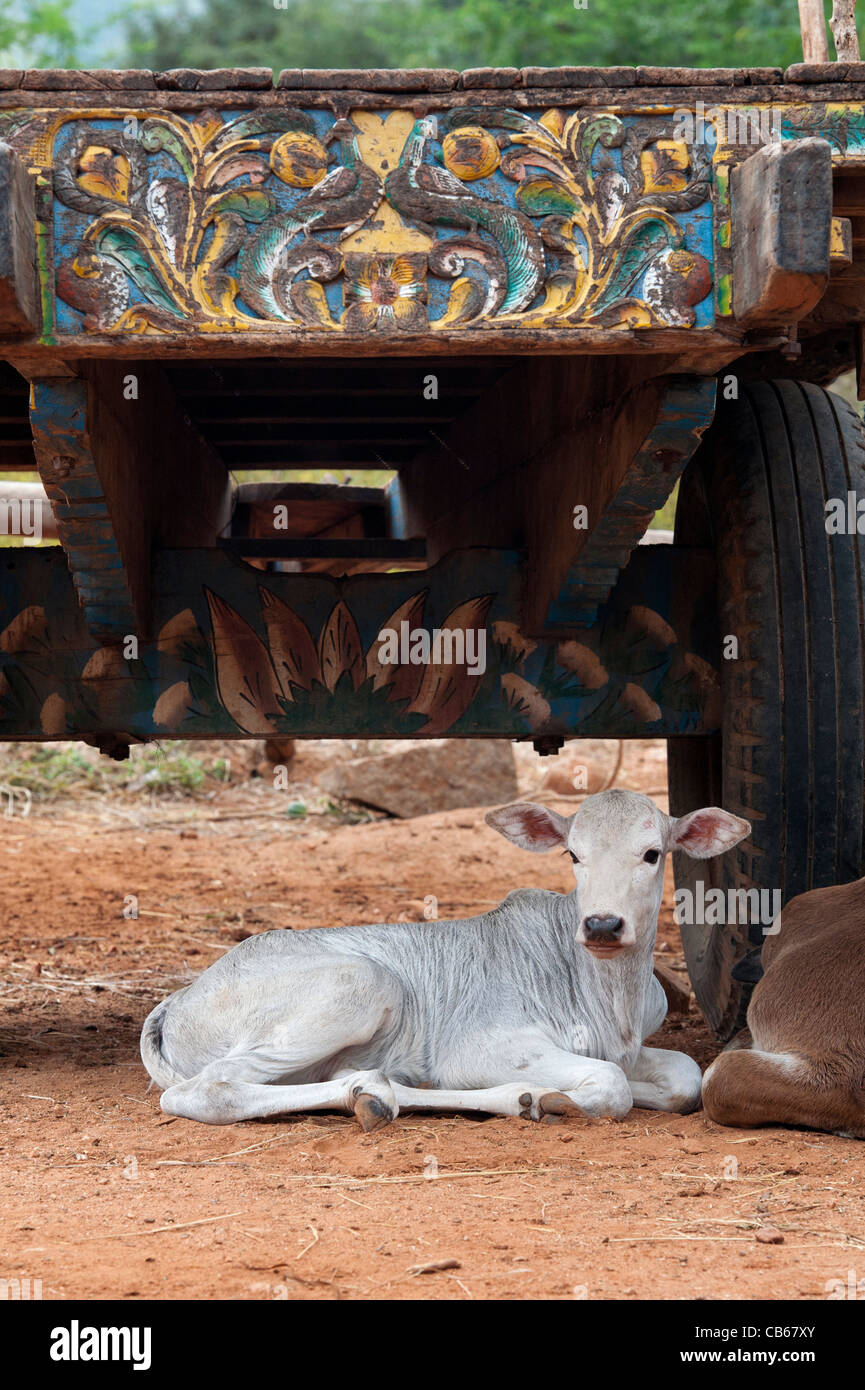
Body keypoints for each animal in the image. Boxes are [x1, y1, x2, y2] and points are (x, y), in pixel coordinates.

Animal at [140, 788, 750, 1129]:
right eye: (573, 854)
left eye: (652, 854)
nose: (601, 924)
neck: (610, 995)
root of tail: (177, 1001)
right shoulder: (479, 1046)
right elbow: (610, 1084)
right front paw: (565, 1100)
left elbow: (686, 1077)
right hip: (363, 984)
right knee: (209, 1089)